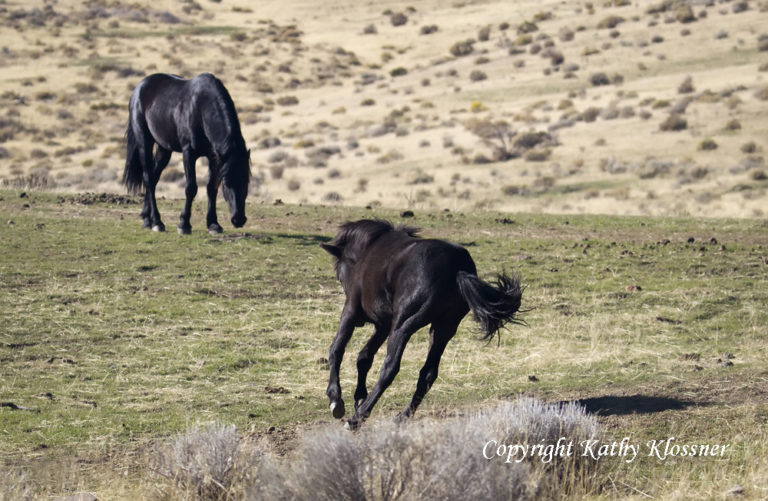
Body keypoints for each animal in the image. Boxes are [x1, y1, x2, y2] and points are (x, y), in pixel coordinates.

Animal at [123, 73, 250, 234]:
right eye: (227, 183)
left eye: (246, 181)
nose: (238, 219)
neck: (201, 109)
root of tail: (139, 87)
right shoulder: (188, 153)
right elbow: (191, 188)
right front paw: (184, 224)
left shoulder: (215, 158)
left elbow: (211, 188)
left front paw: (213, 224)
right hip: (144, 142)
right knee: (148, 178)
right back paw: (157, 222)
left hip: (164, 149)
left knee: (154, 177)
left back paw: (147, 218)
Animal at [321, 219, 524, 429]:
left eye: (339, 271)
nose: (362, 323)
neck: (368, 248)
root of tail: (457, 267)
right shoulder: (383, 325)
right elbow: (364, 358)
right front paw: (359, 397)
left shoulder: (351, 312)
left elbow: (336, 349)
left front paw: (336, 400)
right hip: (443, 328)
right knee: (428, 373)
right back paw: (402, 415)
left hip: (403, 326)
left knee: (390, 368)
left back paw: (357, 418)